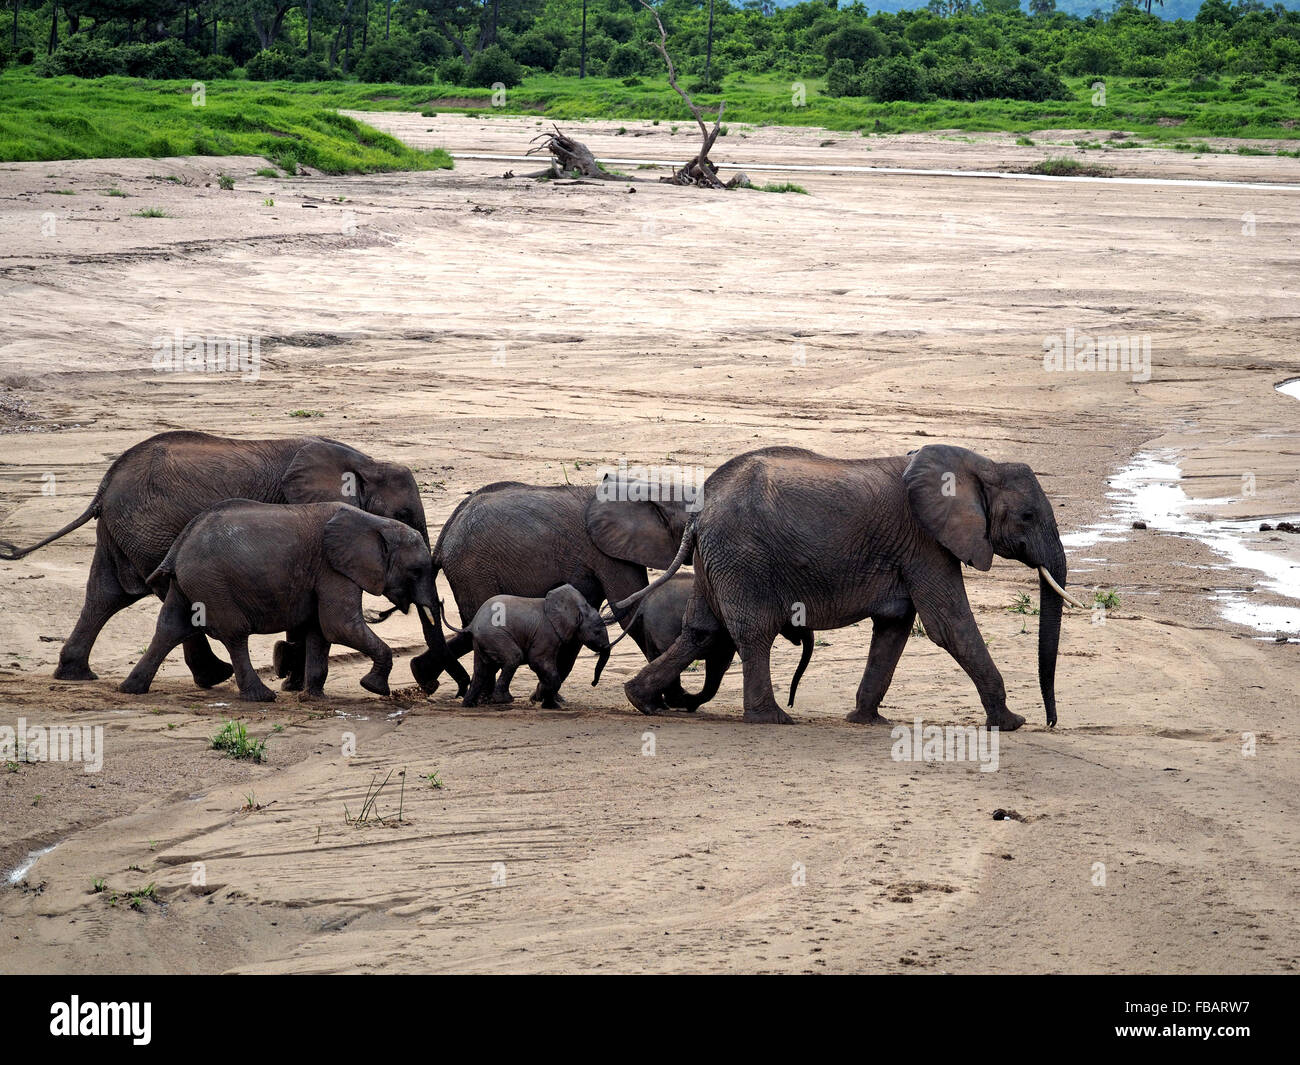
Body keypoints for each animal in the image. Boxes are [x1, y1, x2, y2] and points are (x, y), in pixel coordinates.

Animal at [120, 501, 436, 702]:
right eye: (416, 571)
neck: (376, 523)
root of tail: (178, 546)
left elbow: (320, 630)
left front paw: (315, 698)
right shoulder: (332, 568)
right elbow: (339, 625)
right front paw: (374, 689)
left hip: (191, 584)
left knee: (169, 628)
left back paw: (130, 690)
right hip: (212, 583)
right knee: (234, 633)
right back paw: (261, 697)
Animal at [452, 585, 614, 709]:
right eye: (597, 631)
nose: (593, 683)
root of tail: (473, 623)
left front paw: (546, 703)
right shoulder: (546, 632)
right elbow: (537, 661)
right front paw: (551, 706)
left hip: (482, 641)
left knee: (481, 669)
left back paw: (469, 705)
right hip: (495, 635)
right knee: (513, 657)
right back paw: (504, 700)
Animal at [637, 573, 816, 712]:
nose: (790, 704)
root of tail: (644, 603)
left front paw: (689, 703)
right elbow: (719, 662)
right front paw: (689, 703)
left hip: (650, 628)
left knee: (655, 656)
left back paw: (661, 704)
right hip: (662, 625)